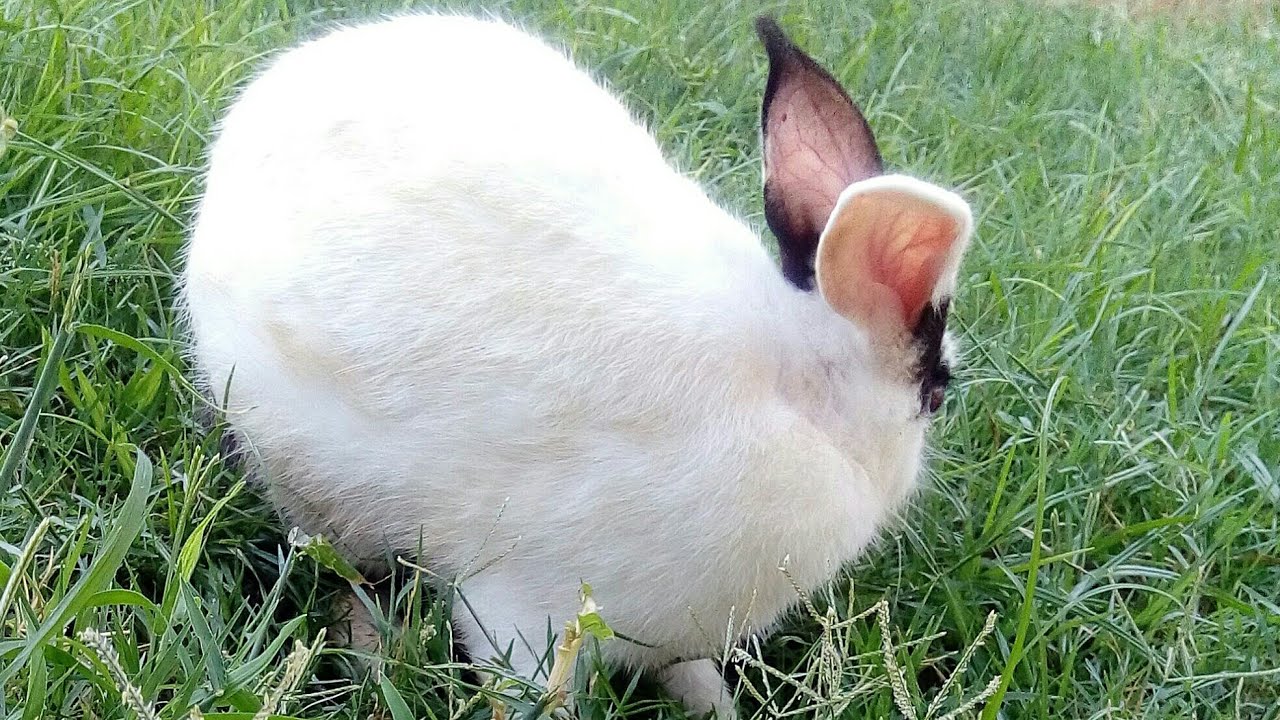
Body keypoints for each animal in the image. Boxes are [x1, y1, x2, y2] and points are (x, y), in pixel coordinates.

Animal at [182, 12, 973, 718]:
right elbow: (530, 686)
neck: (791, 393)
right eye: (938, 389)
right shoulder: (528, 606)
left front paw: (714, 706)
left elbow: (687, 672)